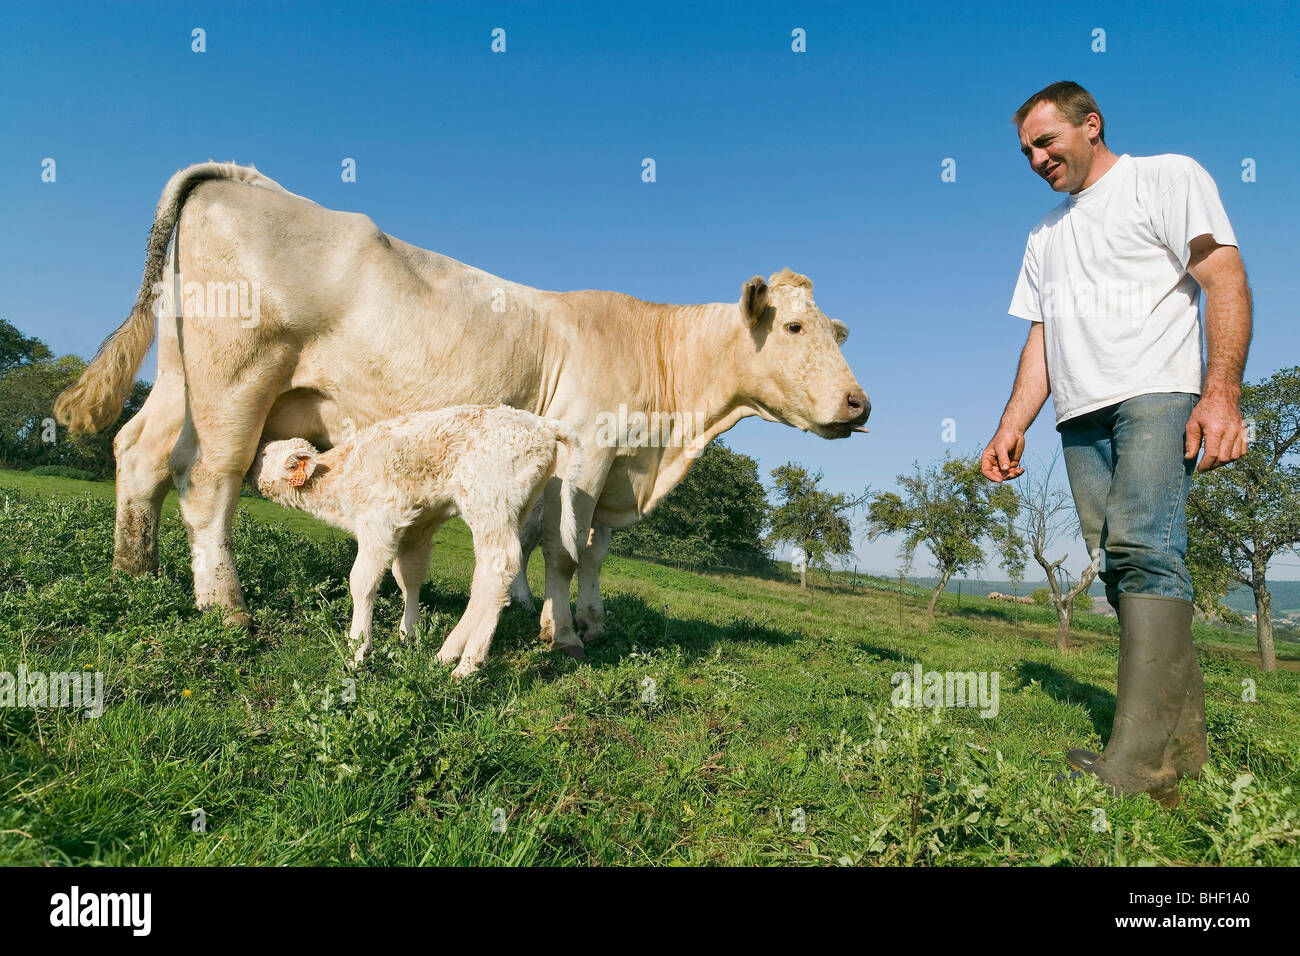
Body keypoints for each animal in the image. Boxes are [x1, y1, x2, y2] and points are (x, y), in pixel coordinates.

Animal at [55, 162, 871, 660]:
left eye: (835, 332)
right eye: (793, 328)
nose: (860, 403)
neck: (664, 445)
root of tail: (241, 177)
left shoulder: (609, 474)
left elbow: (584, 552)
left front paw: (581, 621)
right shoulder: (589, 448)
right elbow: (563, 549)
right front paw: (560, 635)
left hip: (182, 380)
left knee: (140, 453)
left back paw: (134, 574)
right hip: (238, 379)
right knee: (207, 480)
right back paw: (225, 607)